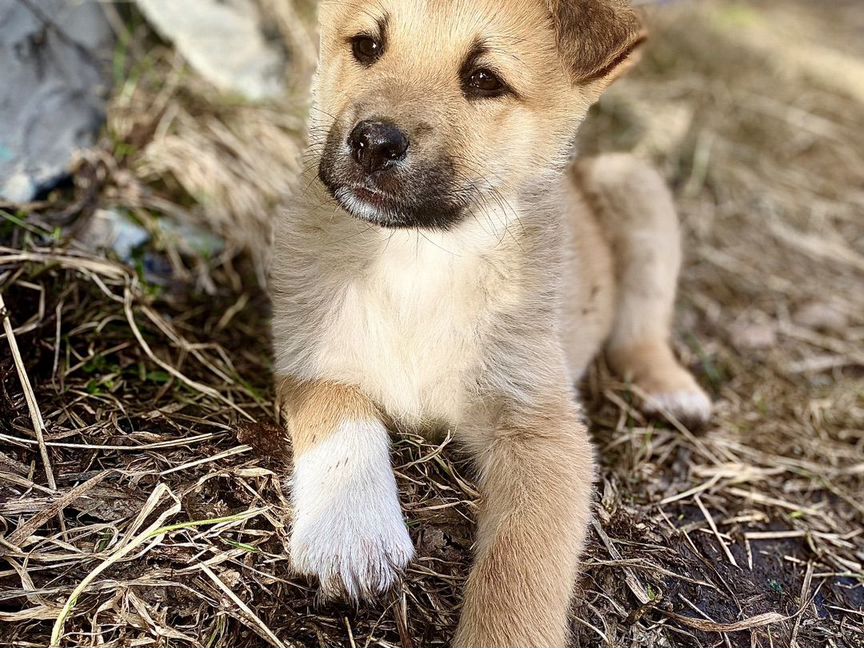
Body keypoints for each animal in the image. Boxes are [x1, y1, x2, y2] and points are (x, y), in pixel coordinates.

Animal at [274, 2, 712, 644]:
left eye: (484, 79)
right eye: (367, 46)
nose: (373, 143)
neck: (416, 262)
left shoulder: (542, 429)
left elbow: (518, 571)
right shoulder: (310, 357)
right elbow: (342, 418)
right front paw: (352, 532)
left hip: (636, 185)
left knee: (642, 331)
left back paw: (672, 389)